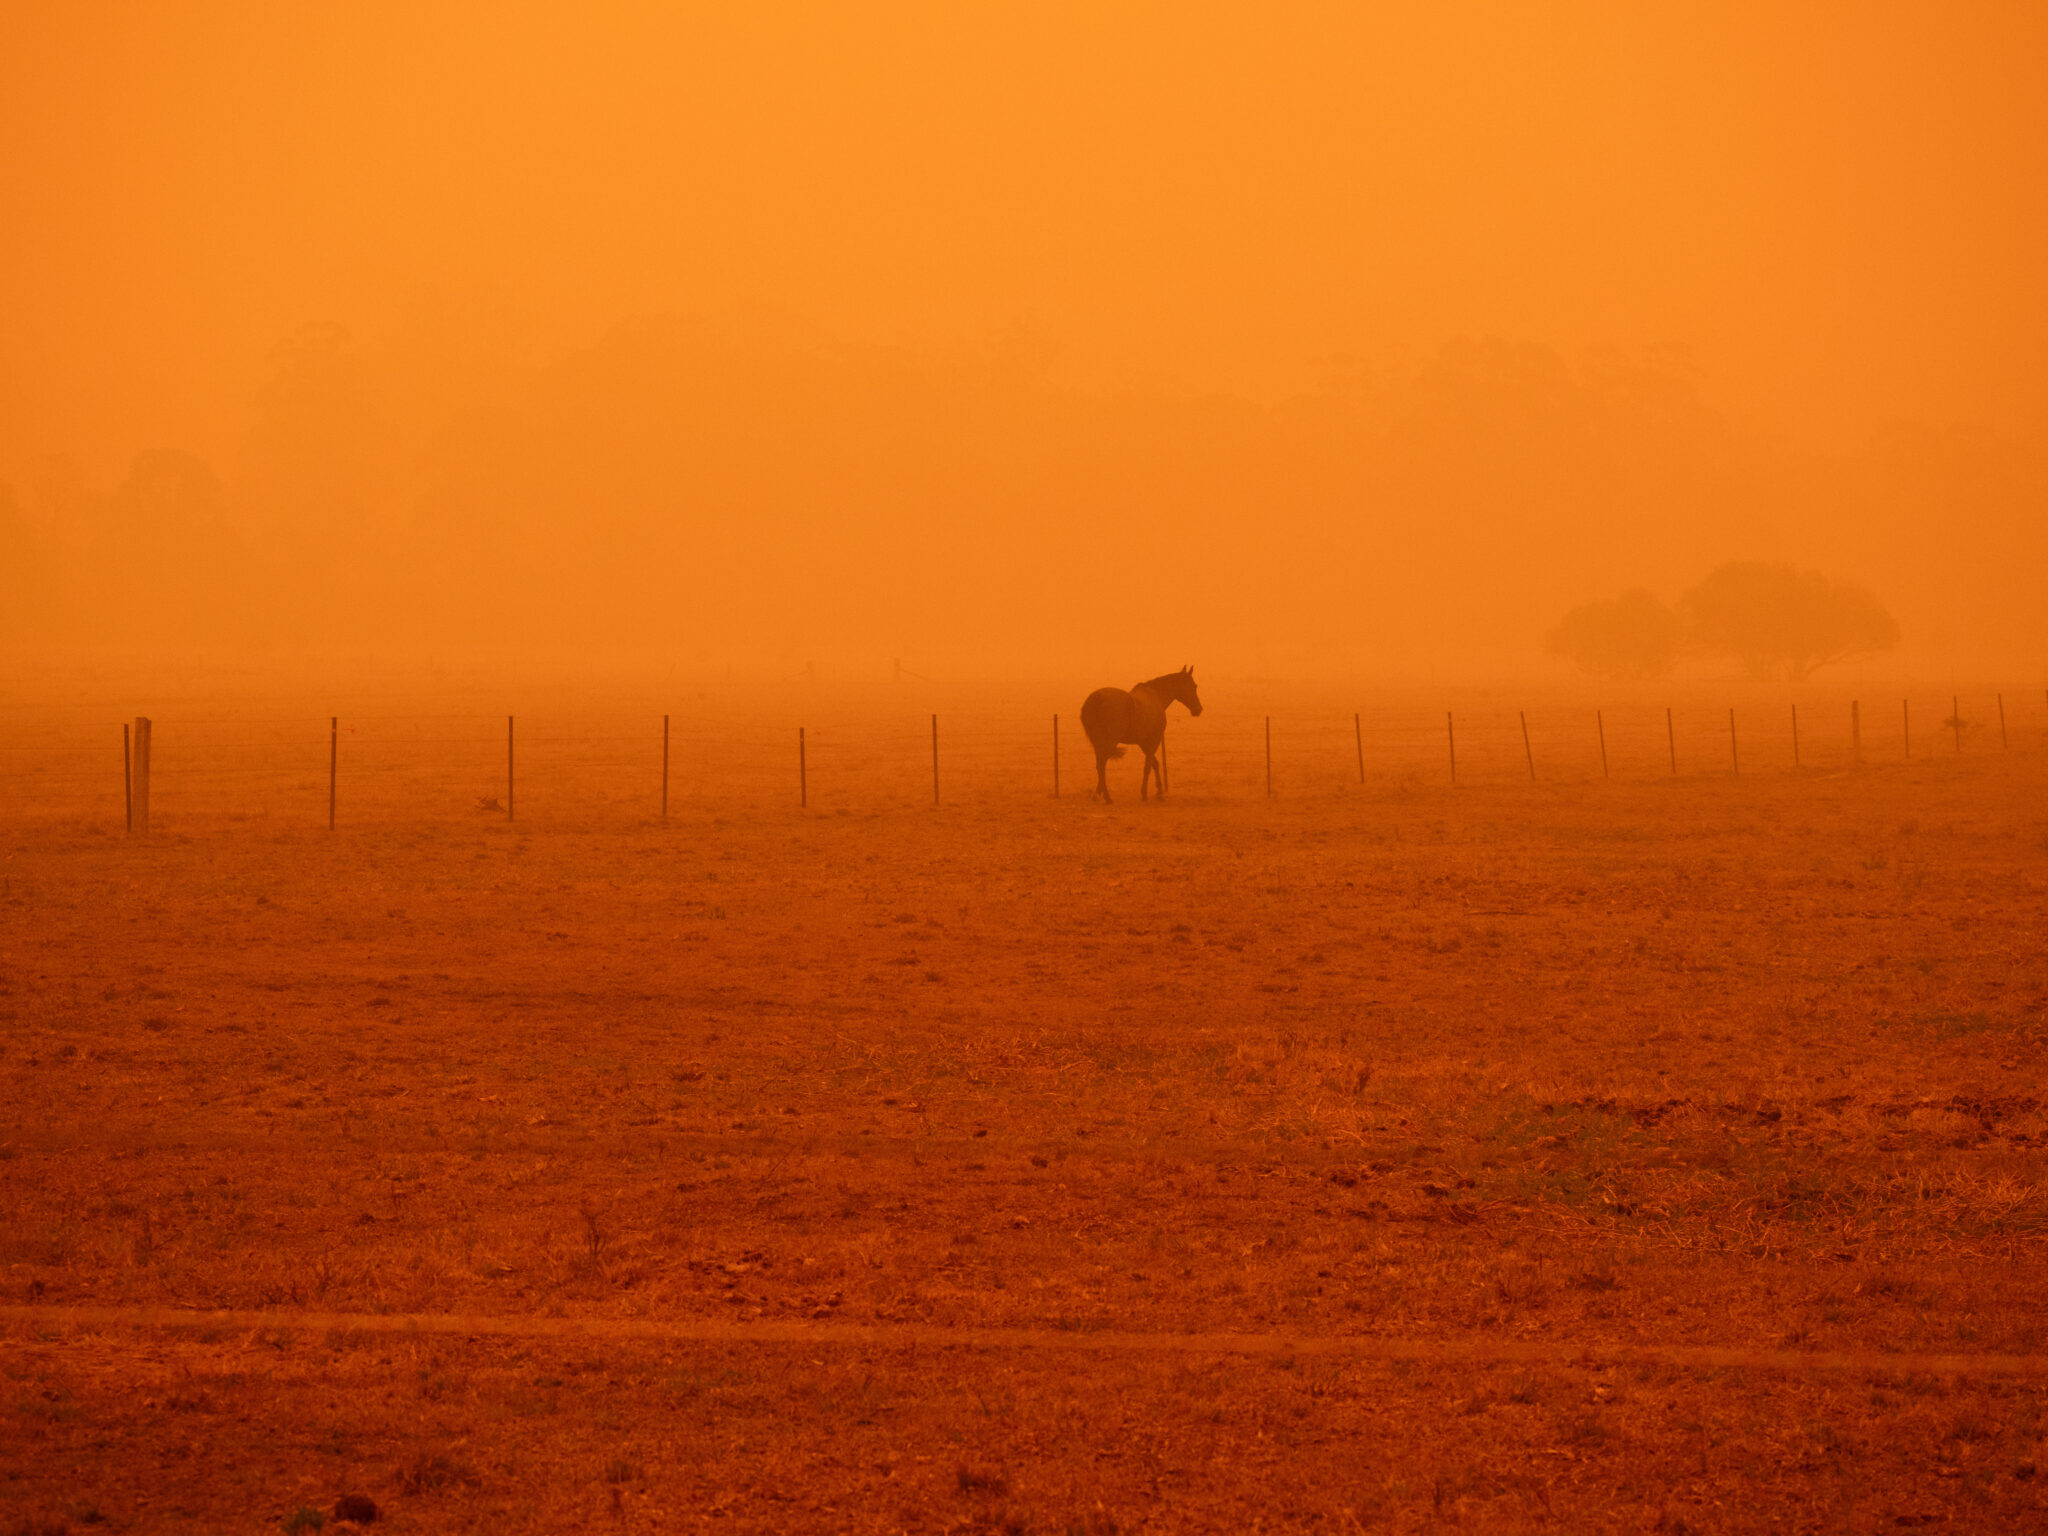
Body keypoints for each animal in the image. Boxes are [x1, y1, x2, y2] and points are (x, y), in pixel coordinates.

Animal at [1080, 666, 1203, 803]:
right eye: (1194, 686)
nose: (1198, 709)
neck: (1156, 697)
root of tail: (1096, 699)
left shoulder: (1143, 742)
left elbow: (1154, 763)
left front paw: (1159, 791)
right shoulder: (1154, 740)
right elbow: (1148, 766)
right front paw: (1145, 793)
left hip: (1099, 743)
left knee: (1099, 766)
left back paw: (1098, 794)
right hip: (1109, 742)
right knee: (1101, 765)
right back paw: (1107, 797)